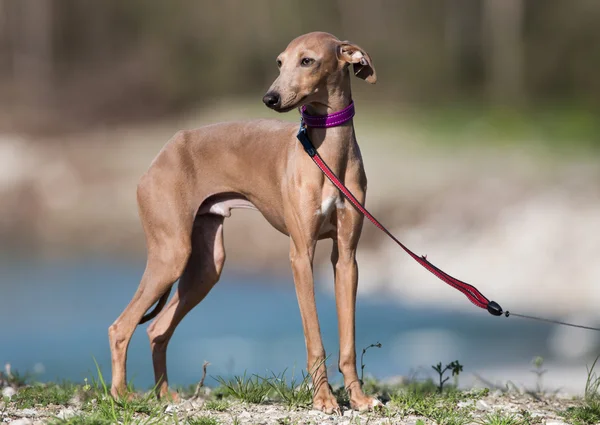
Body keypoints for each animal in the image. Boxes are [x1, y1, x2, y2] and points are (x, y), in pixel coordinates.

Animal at [109, 31, 380, 412]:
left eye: (307, 61)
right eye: (280, 62)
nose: (270, 98)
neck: (328, 153)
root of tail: (163, 152)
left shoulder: (346, 258)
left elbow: (349, 342)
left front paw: (357, 397)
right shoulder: (301, 255)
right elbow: (315, 339)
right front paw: (324, 399)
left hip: (206, 266)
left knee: (156, 329)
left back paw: (165, 394)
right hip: (171, 254)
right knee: (120, 327)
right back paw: (121, 395)